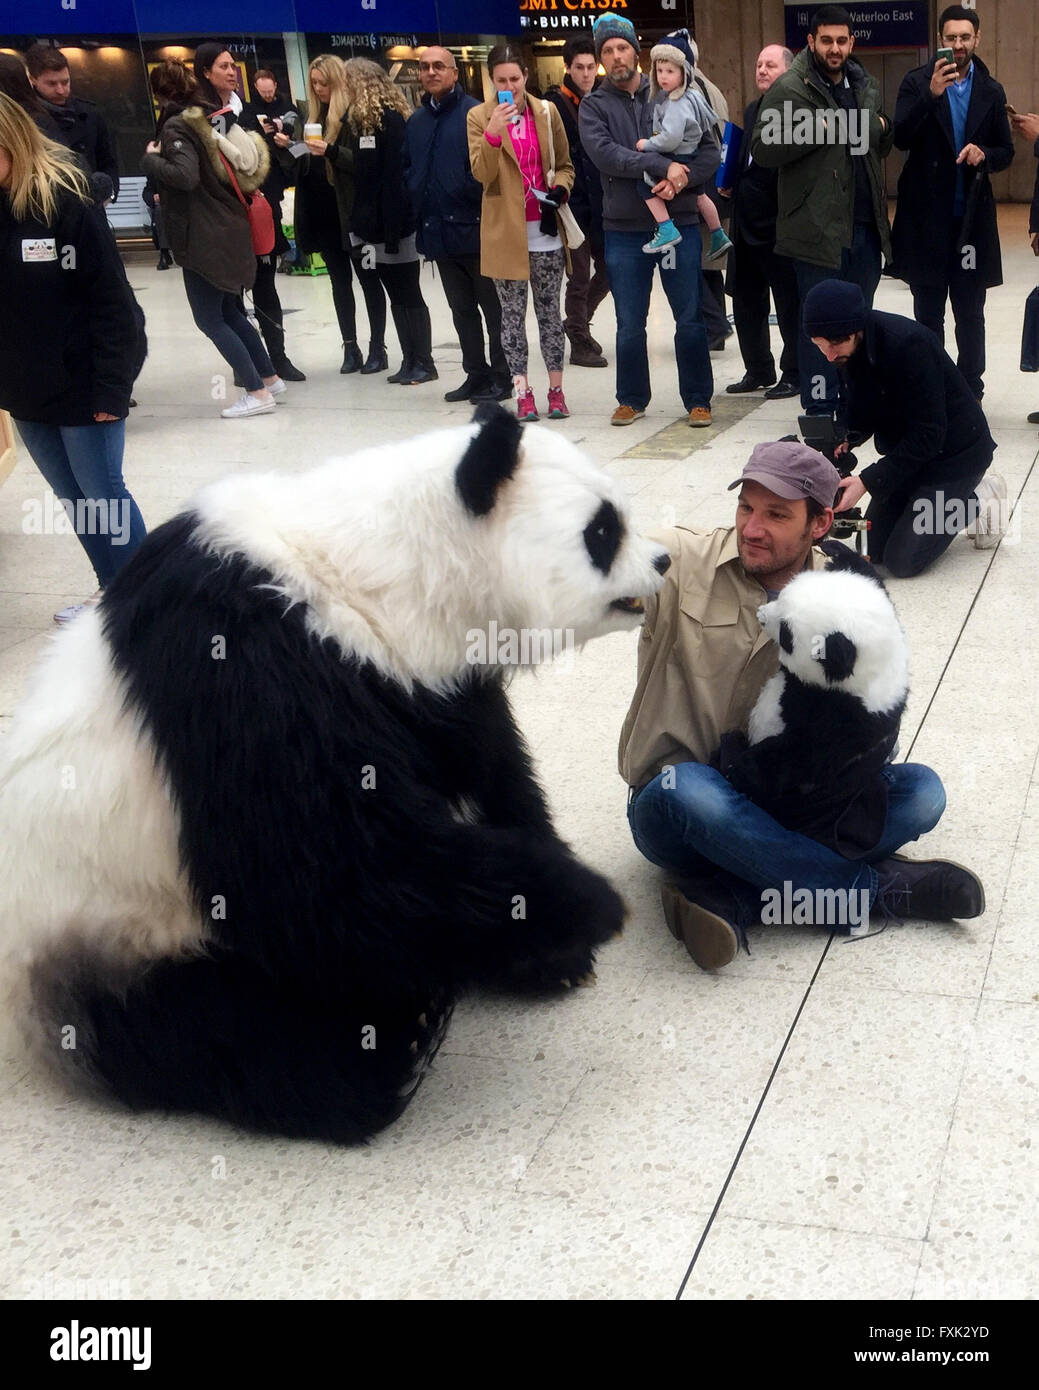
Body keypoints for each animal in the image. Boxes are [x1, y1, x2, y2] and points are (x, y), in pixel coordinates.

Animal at [0, 405, 670, 1144]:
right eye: (602, 530)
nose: (663, 561)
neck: (377, 570)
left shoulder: (418, 682)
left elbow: (487, 771)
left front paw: (549, 949)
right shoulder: (250, 664)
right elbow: (322, 870)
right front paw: (587, 905)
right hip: (110, 930)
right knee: (220, 1034)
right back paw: (387, 1043)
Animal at [718, 562, 909, 858]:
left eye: (786, 634)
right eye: (781, 596)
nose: (760, 615)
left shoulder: (851, 719)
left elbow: (803, 754)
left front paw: (741, 768)